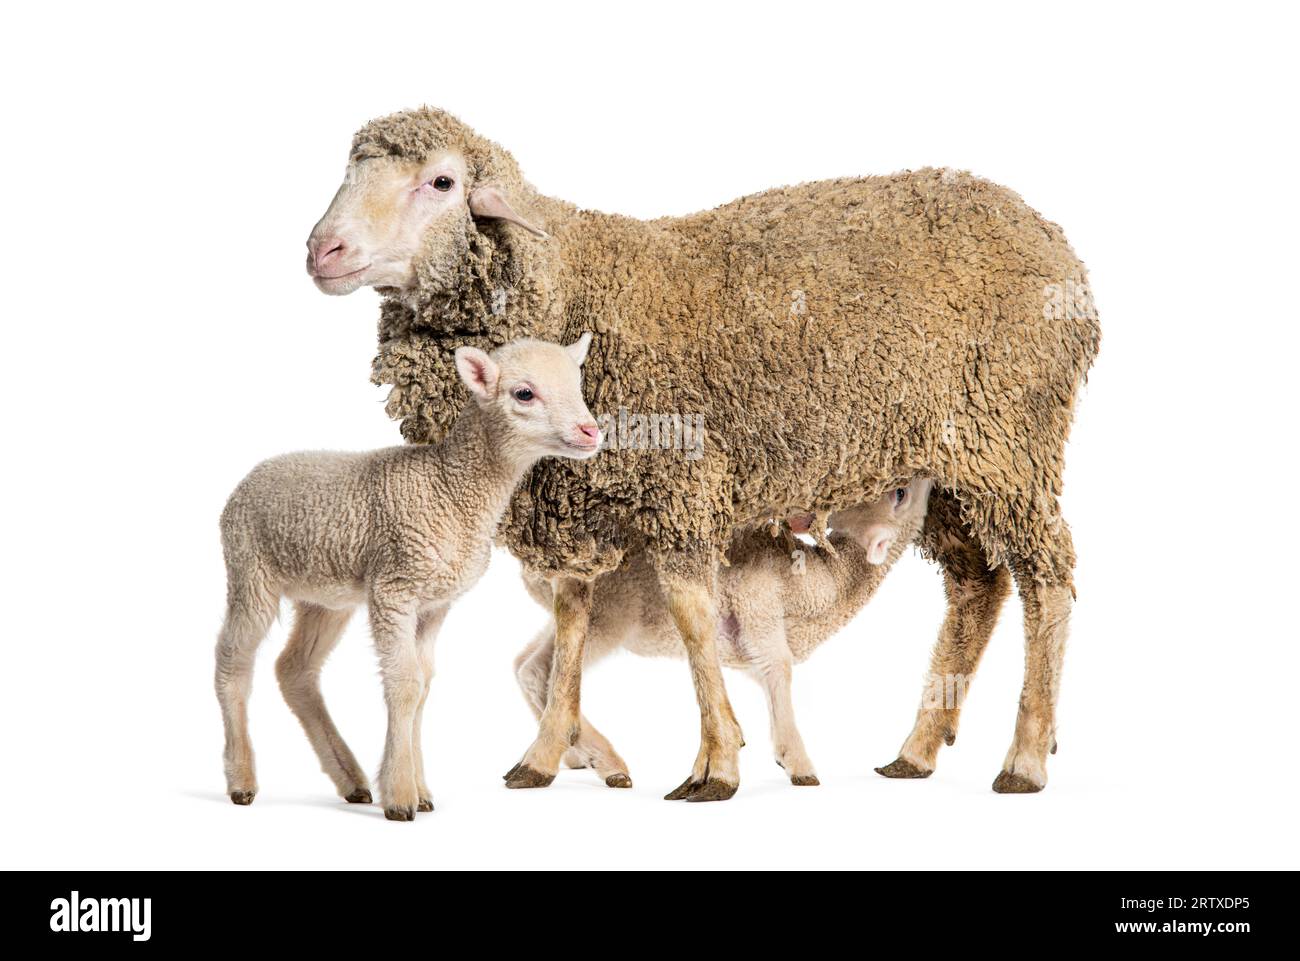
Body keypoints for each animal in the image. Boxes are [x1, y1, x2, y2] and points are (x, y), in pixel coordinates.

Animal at [214, 335, 599, 821]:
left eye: (577, 385)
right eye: (524, 393)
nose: (591, 432)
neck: (449, 488)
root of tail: (252, 475)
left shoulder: (435, 602)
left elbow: (424, 684)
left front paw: (421, 791)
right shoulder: (394, 587)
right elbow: (405, 683)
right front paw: (400, 796)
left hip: (326, 595)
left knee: (294, 670)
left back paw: (350, 779)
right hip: (250, 569)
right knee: (232, 662)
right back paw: (242, 781)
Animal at [515, 478, 933, 787]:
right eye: (899, 492)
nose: (926, 477)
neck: (820, 584)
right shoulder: (759, 612)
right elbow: (780, 671)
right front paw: (800, 766)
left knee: (525, 664)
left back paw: (573, 754)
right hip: (610, 620)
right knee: (544, 671)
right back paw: (604, 762)